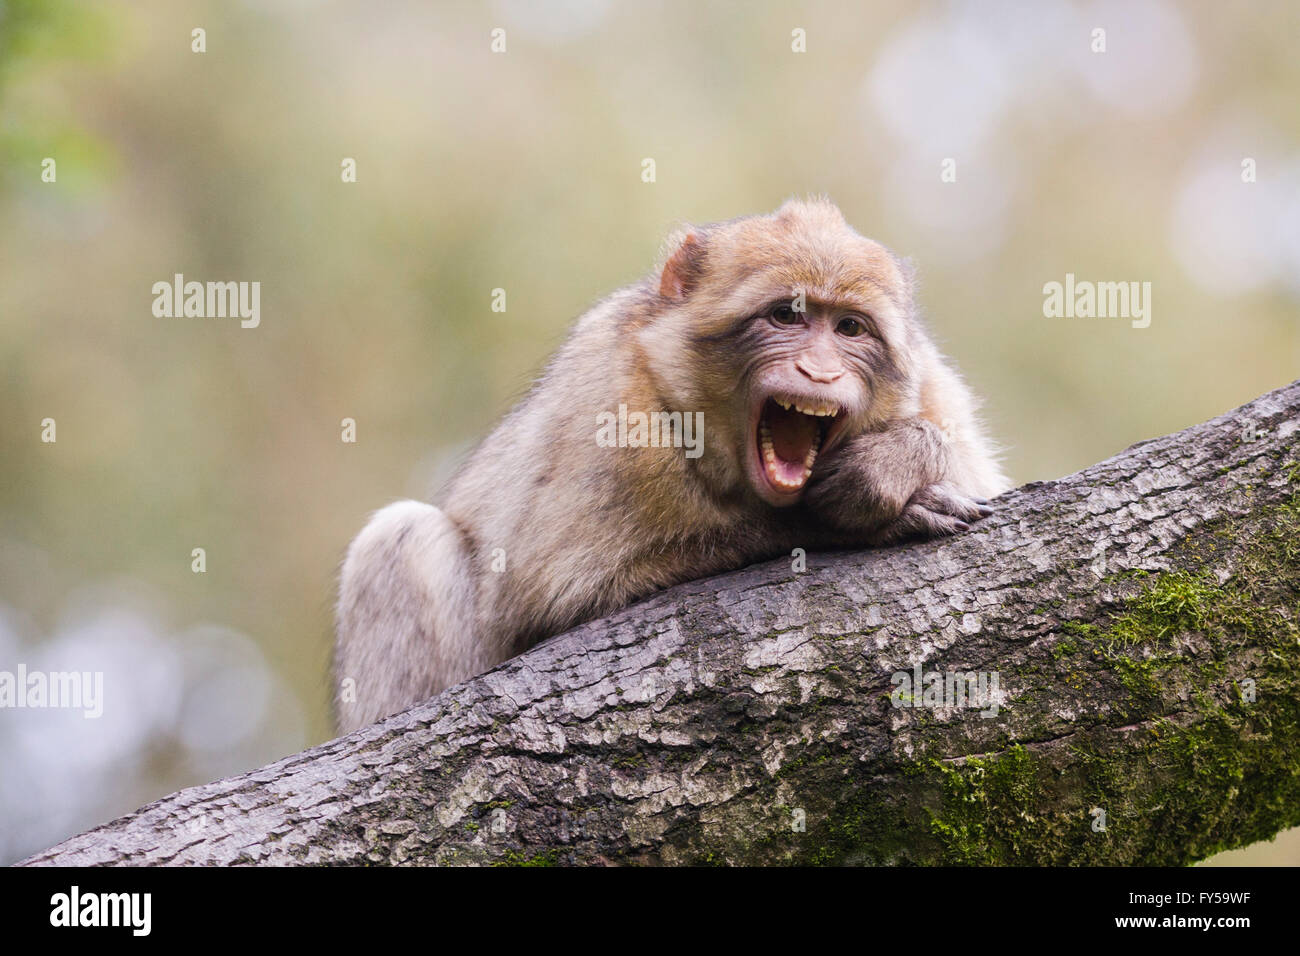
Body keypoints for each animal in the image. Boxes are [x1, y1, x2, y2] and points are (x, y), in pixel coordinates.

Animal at [333, 197, 1010, 733]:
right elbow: (555, 602)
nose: (819, 372)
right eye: (787, 315)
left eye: (849, 328)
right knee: (400, 538)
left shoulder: (935, 390)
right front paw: (855, 520)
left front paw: (901, 462)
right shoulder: (609, 405)